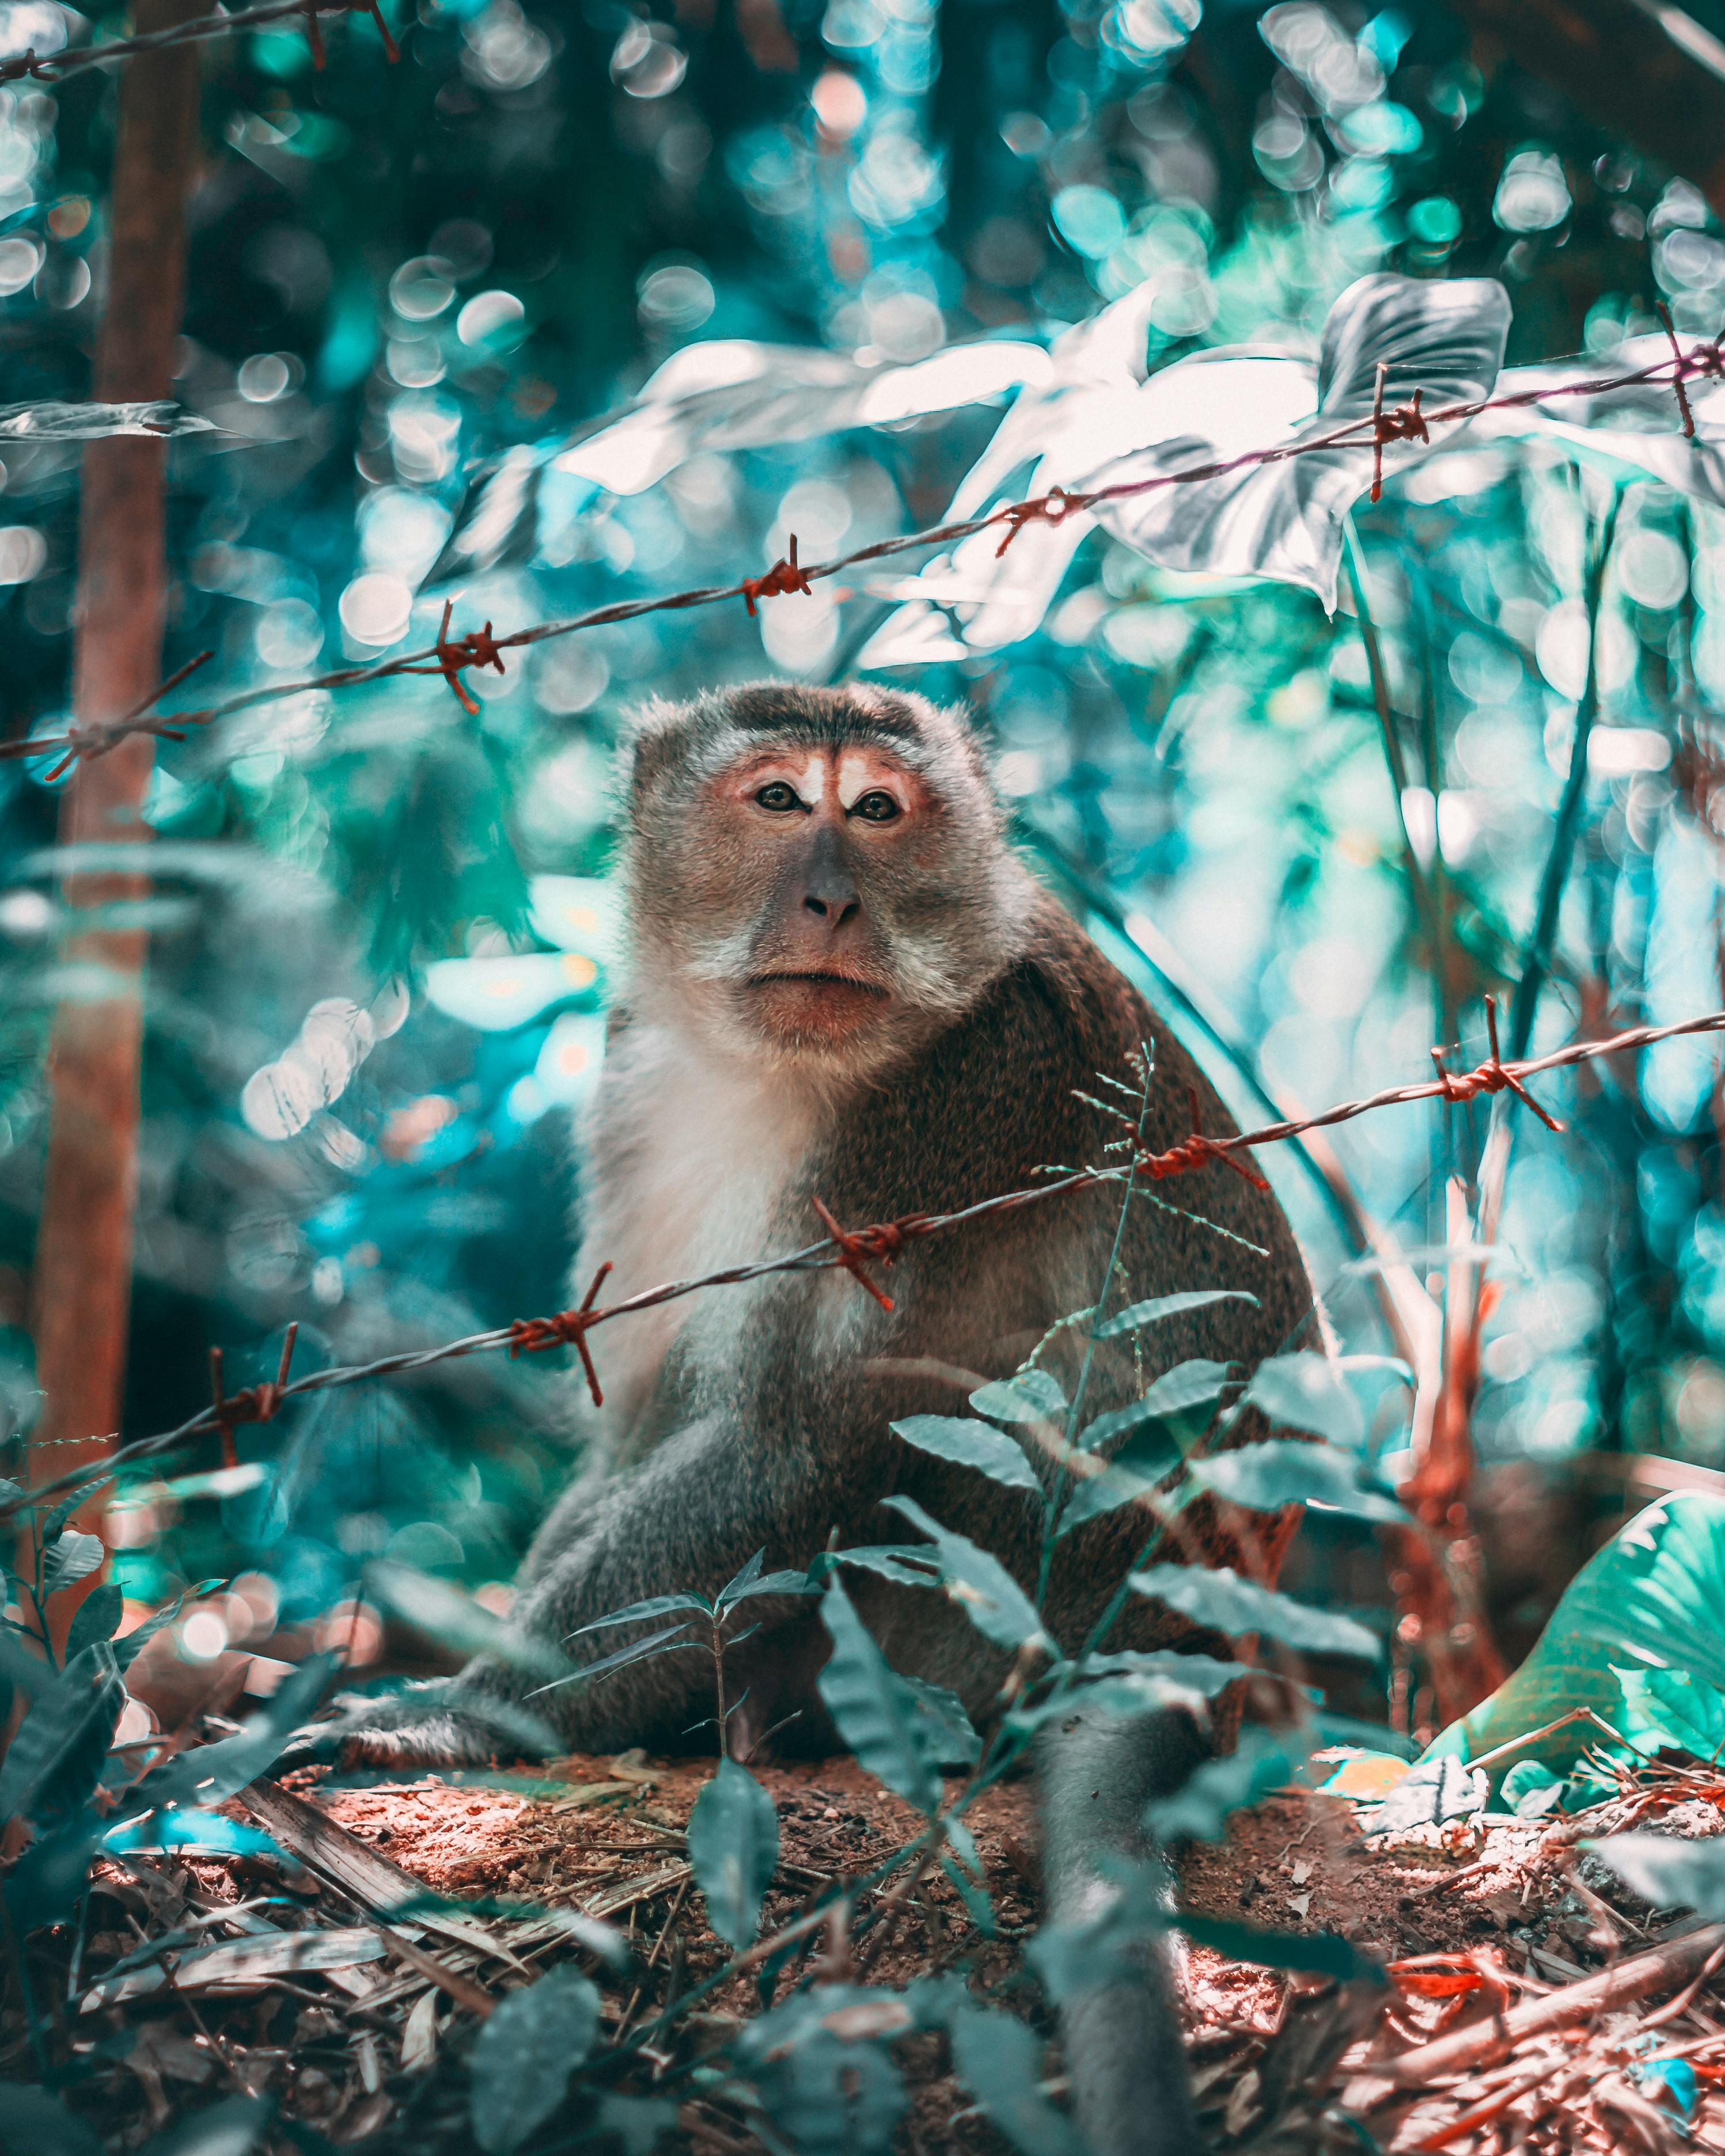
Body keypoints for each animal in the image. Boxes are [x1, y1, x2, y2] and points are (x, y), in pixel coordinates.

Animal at [294, 681, 1315, 2156]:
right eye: (780, 800)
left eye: (877, 811)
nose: (831, 896)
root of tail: (1185, 1644)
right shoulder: (634, 1079)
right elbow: (645, 1425)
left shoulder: (956, 1098)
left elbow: (802, 1444)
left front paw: (469, 1713)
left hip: (974, 1610)